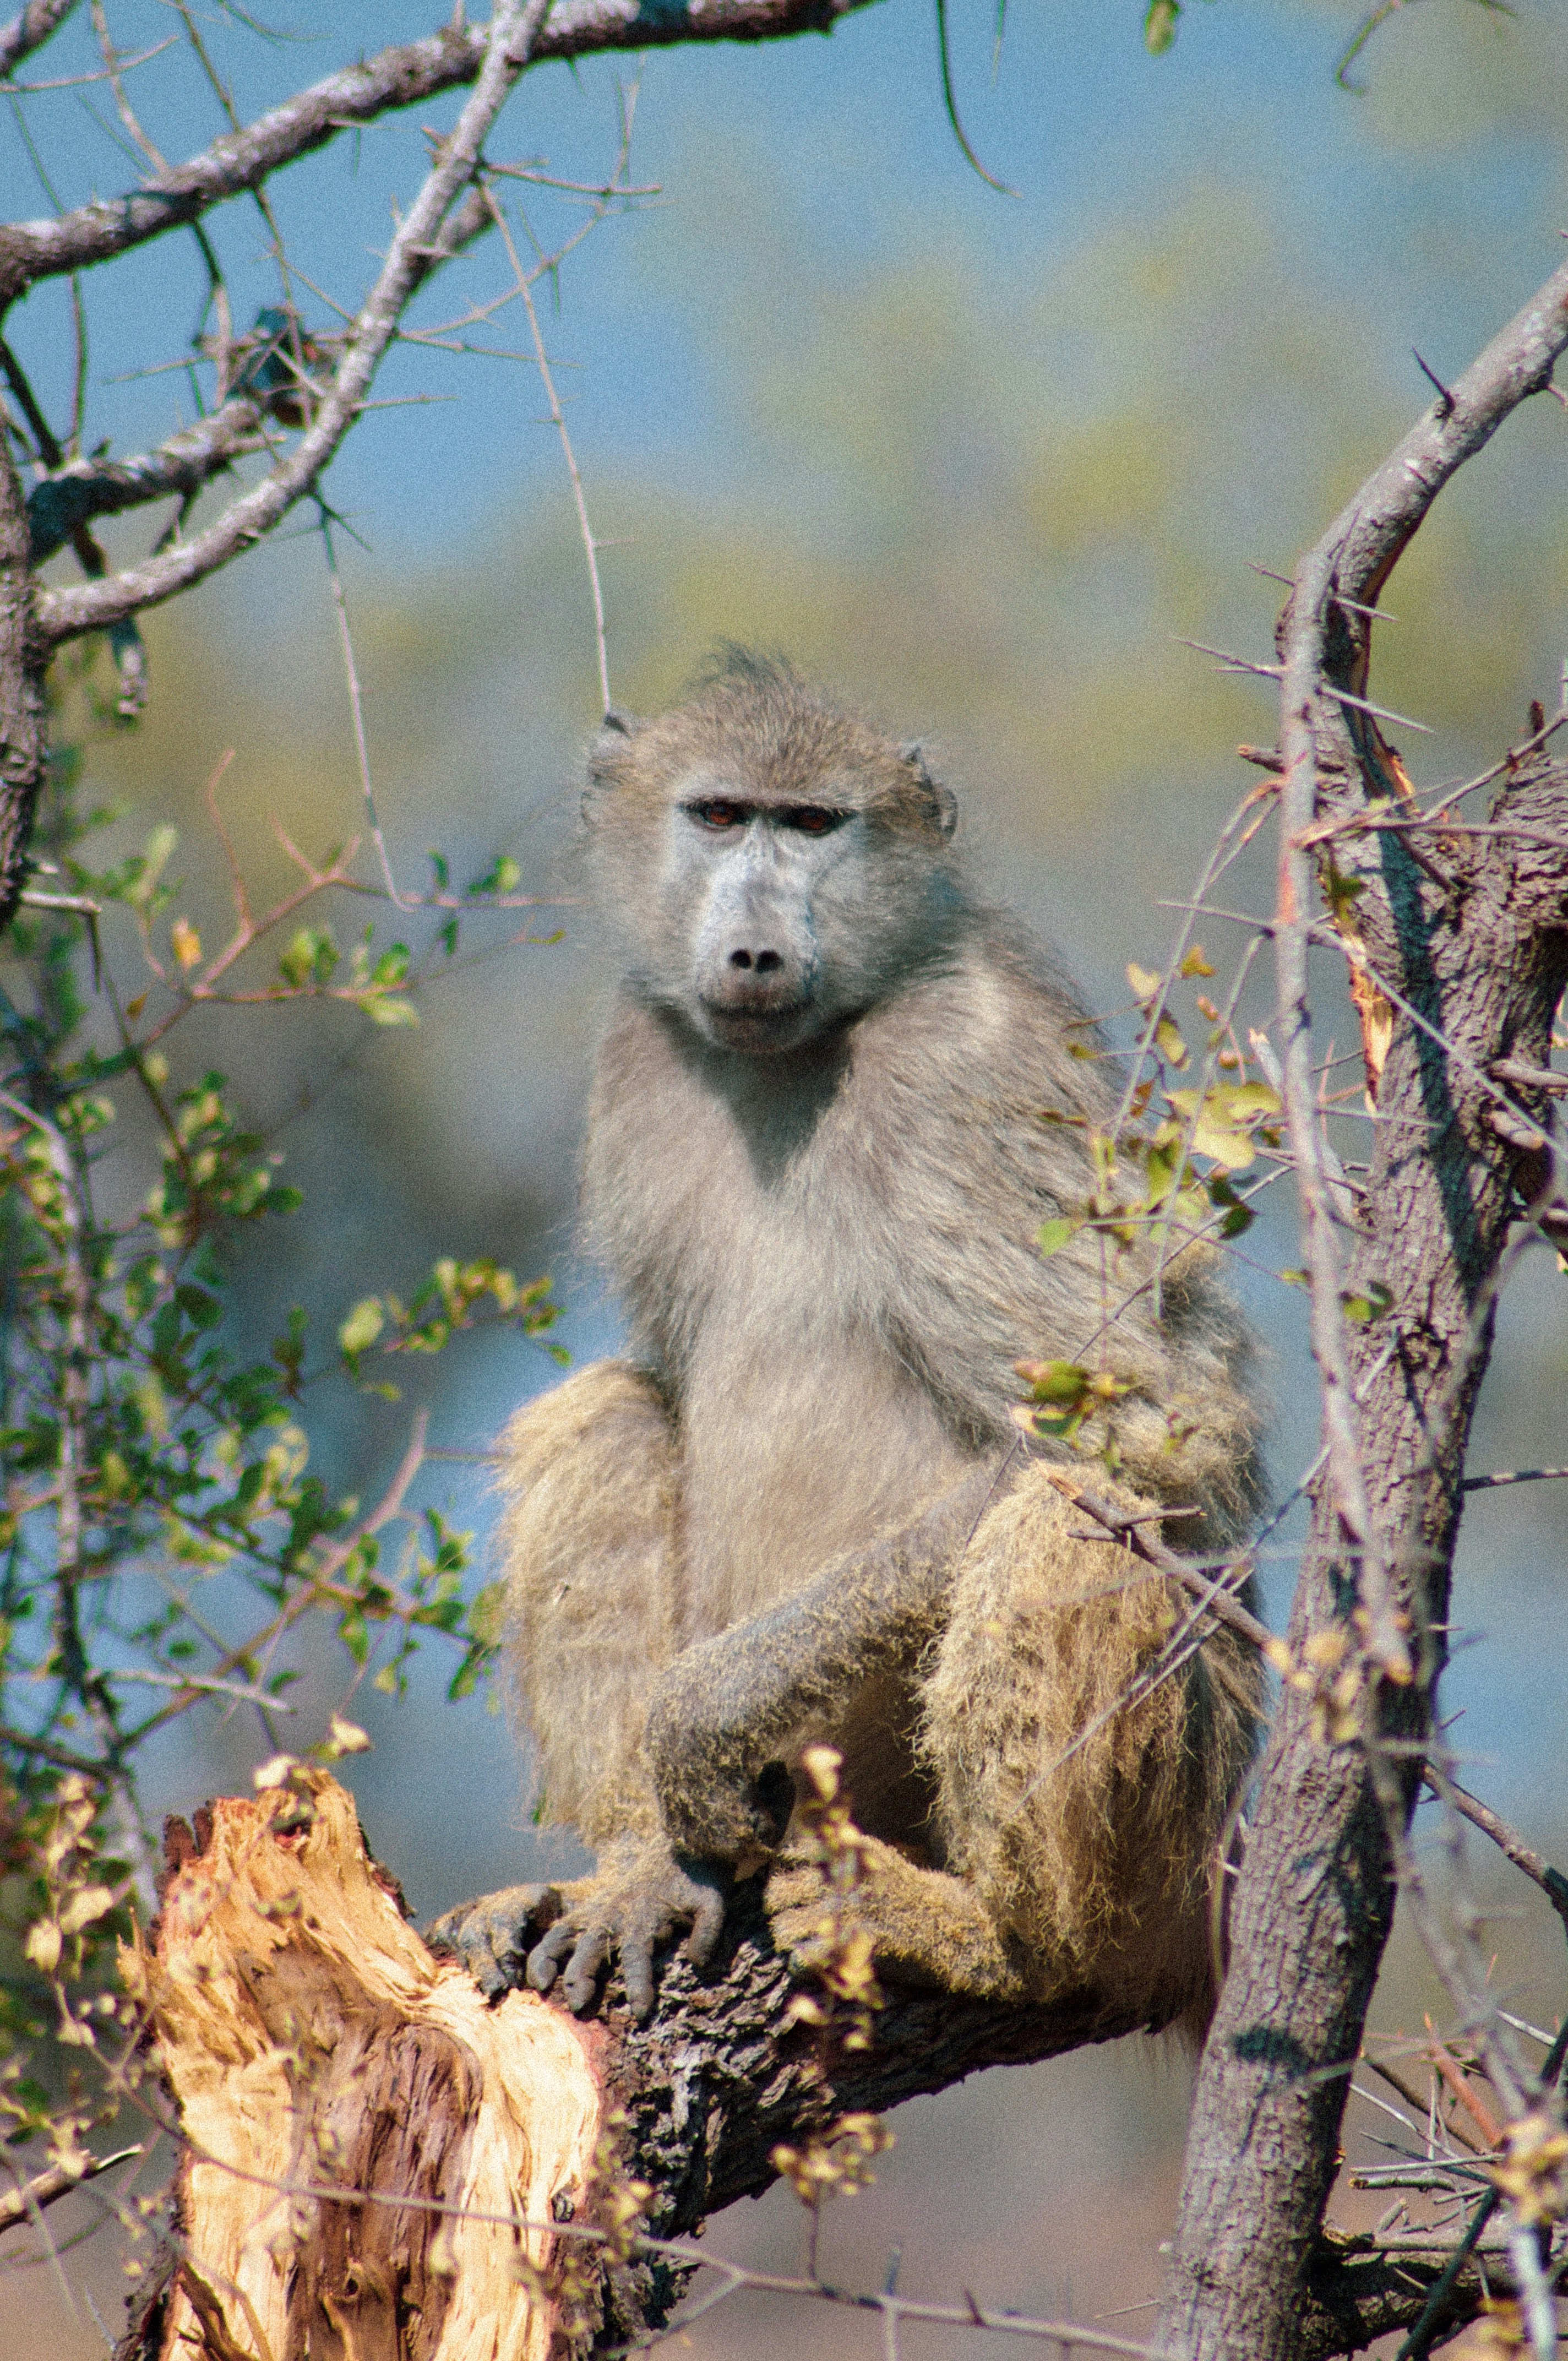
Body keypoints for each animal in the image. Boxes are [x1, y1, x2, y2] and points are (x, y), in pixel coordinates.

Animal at [431, 650, 1265, 2038]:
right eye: (719, 815)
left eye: (814, 824)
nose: (756, 950)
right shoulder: (638, 1055)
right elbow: (656, 1394)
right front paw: (650, 1843)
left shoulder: (963, 1081)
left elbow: (1140, 1429)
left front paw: (693, 1726)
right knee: (606, 1411)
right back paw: (635, 1869)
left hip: (1167, 1826)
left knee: (1067, 1509)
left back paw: (998, 1940)